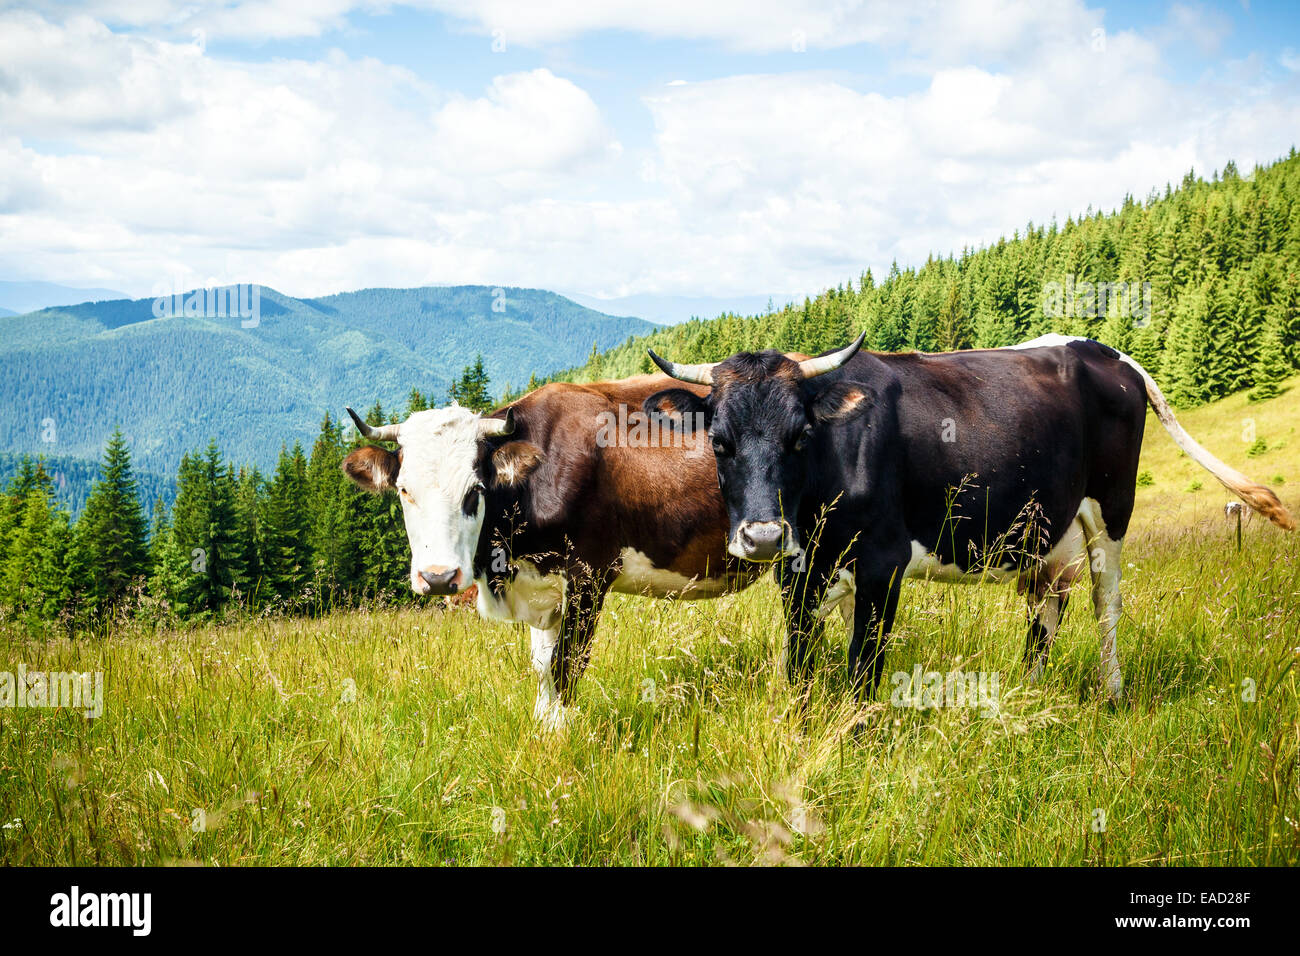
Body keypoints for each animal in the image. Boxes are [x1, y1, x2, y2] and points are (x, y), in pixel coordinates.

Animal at [339, 375, 768, 727]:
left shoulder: (589, 577)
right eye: (404, 490)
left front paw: (560, 733)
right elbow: (541, 664)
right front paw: (542, 726)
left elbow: (566, 663)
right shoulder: (540, 589)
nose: (439, 577)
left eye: (475, 490)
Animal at [644, 332, 1295, 701]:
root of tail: (1102, 350)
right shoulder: (800, 569)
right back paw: (1030, 690)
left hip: (1111, 508)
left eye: (801, 435)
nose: (760, 535)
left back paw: (1112, 694)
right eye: (719, 441)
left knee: (1105, 601)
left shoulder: (883, 561)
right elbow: (800, 659)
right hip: (1047, 524)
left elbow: (863, 663)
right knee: (1048, 602)